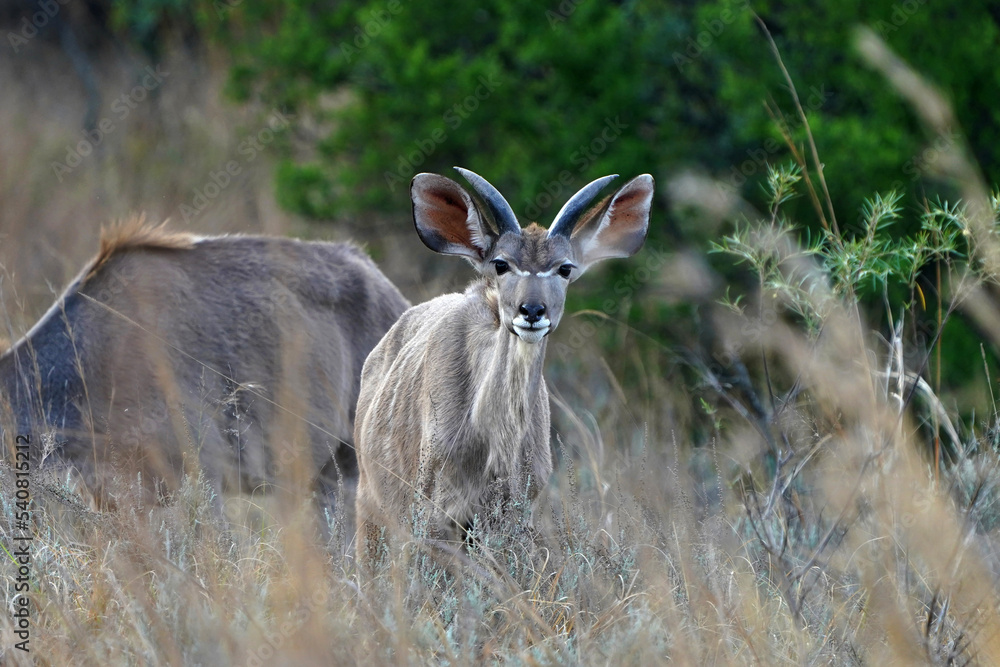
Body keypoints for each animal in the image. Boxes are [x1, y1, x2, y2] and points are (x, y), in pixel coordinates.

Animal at [355, 167, 654, 563]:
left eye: (565, 269)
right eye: (501, 264)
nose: (532, 311)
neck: (494, 447)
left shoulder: (510, 518)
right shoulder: (434, 513)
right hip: (370, 506)